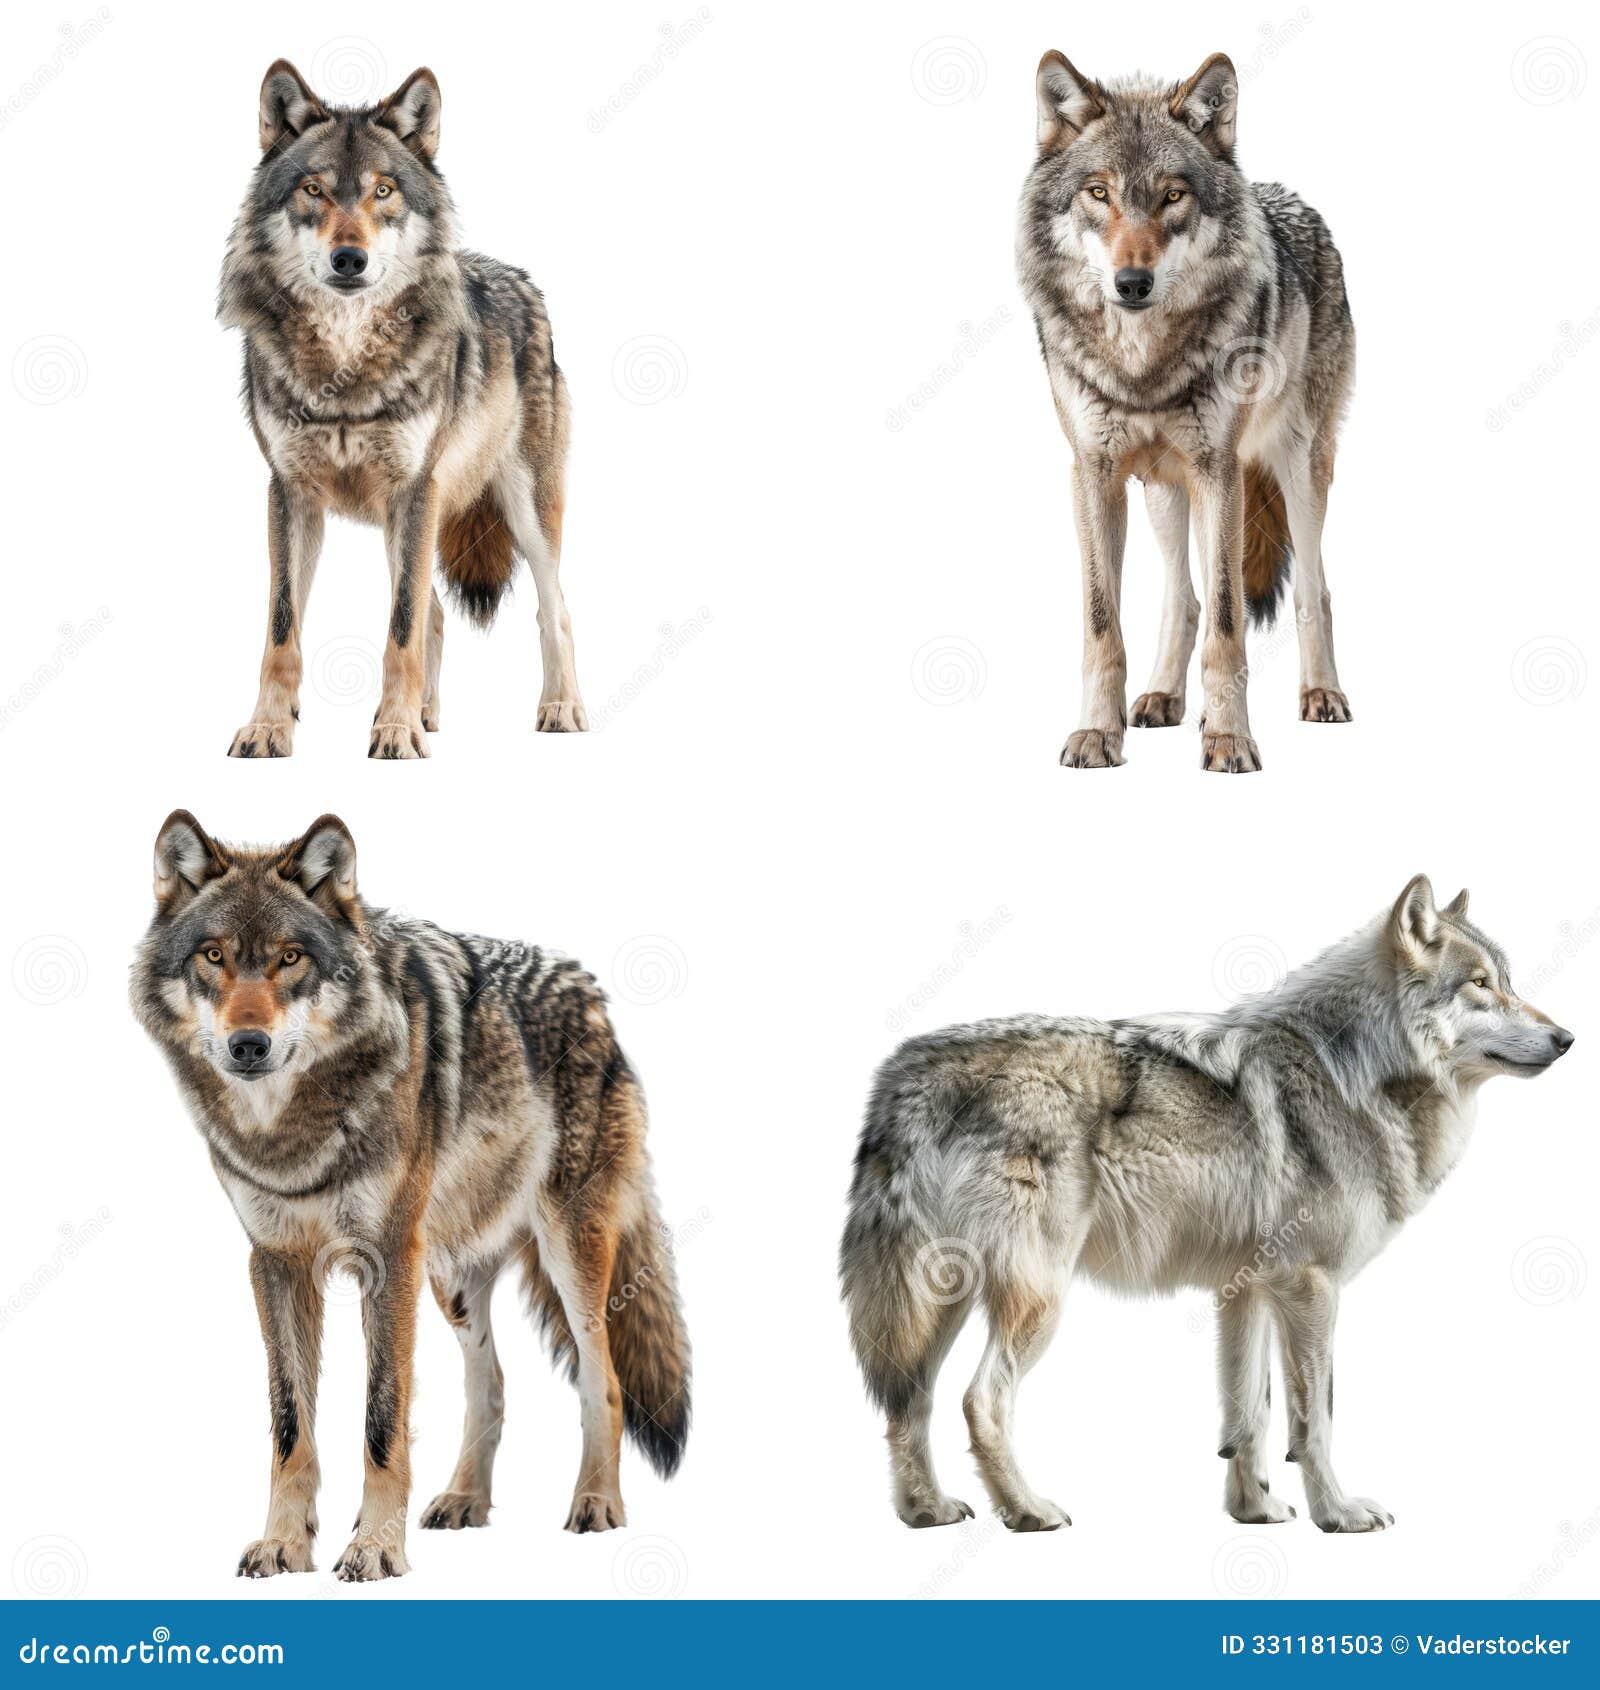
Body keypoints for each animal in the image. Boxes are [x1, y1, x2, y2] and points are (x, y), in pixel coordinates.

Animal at [131, 812, 689, 1577]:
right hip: (450, 1275)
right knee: (491, 1385)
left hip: (567, 1252)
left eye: (290, 959)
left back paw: (597, 1502)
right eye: (213, 956)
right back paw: (463, 1501)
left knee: (600, 1380)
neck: (292, 1132)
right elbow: (289, 1426)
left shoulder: (387, 1257)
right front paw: (285, 1543)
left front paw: (374, 1547)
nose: (248, 1045)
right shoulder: (276, 1262)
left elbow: (381, 1420)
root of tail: (593, 994)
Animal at [219, 61, 585, 760]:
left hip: (521, 511)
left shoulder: (414, 488)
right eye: (313, 189)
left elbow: (401, 626)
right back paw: (428, 711)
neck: (344, 367)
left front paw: (394, 730)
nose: (350, 259)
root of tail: (520, 278)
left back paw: (560, 709)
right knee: (435, 612)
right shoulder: (289, 491)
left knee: (553, 609)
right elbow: (284, 628)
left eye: (383, 191)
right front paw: (269, 727)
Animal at [842, 879, 1571, 1532]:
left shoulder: (1243, 1291)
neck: (1355, 1073)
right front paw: (1337, 1514)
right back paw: (1027, 1510)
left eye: (1508, 981)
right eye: (1481, 984)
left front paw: (1255, 1512)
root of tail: (906, 1074)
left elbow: (1249, 1415)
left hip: (938, 1298)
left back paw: (927, 1511)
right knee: (980, 1400)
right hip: (1035, 1298)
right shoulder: (1312, 1287)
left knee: (908, 1403)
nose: (1566, 1038)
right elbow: (1315, 1418)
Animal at [1016, 52, 1355, 772]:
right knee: (1184, 597)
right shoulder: (1094, 473)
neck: (1144, 368)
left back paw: (1321, 695)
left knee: (1313, 591)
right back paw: (1163, 699)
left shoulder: (1218, 469)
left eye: (1173, 196)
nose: (1132, 283)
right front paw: (1097, 734)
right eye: (1099, 193)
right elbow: (1104, 625)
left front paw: (1228, 739)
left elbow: (1230, 625)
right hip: (1163, 493)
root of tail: (1285, 195)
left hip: (1296, 468)